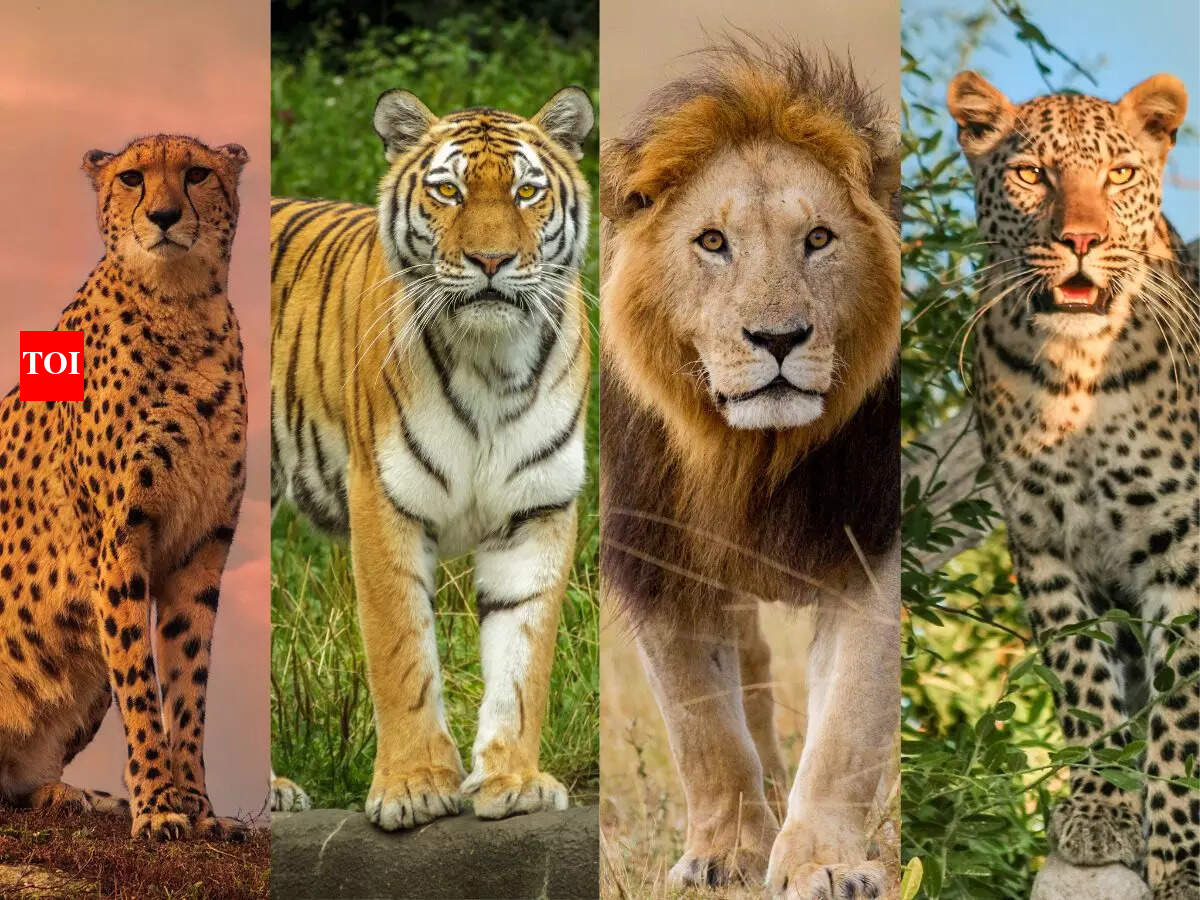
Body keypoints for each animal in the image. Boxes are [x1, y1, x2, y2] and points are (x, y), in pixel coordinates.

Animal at [0, 134, 250, 842]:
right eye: (133, 178)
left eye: (197, 174)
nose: (164, 217)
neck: (180, 309)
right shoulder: (118, 543)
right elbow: (140, 676)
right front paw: (159, 805)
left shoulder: (203, 546)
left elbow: (187, 682)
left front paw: (197, 806)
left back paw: (69, 795)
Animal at [948, 71, 1199, 897]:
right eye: (1032, 175)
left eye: (1118, 175)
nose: (1081, 241)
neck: (1079, 372)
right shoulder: (1046, 543)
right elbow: (1084, 681)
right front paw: (1098, 813)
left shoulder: (1184, 550)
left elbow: (1182, 712)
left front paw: (1181, 858)